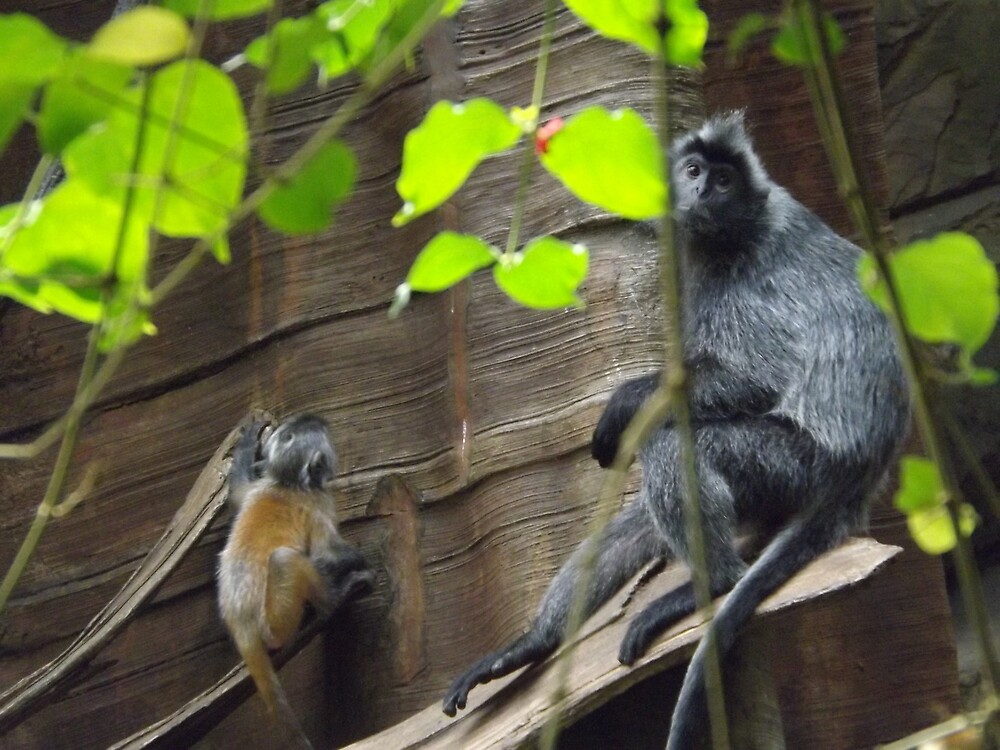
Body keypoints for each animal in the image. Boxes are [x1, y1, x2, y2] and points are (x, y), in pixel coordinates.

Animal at [218, 414, 374, 750]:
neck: (286, 483)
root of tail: (241, 623)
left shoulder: (258, 488)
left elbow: (238, 494)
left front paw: (248, 441)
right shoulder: (318, 503)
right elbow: (324, 555)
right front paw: (359, 561)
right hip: (276, 624)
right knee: (285, 560)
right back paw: (333, 601)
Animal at [442, 112, 909, 749]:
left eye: (723, 179)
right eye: (693, 170)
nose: (704, 190)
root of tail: (861, 476)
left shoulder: (748, 273)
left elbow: (756, 378)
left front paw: (625, 402)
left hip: (797, 464)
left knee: (674, 444)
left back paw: (713, 582)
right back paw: (535, 643)